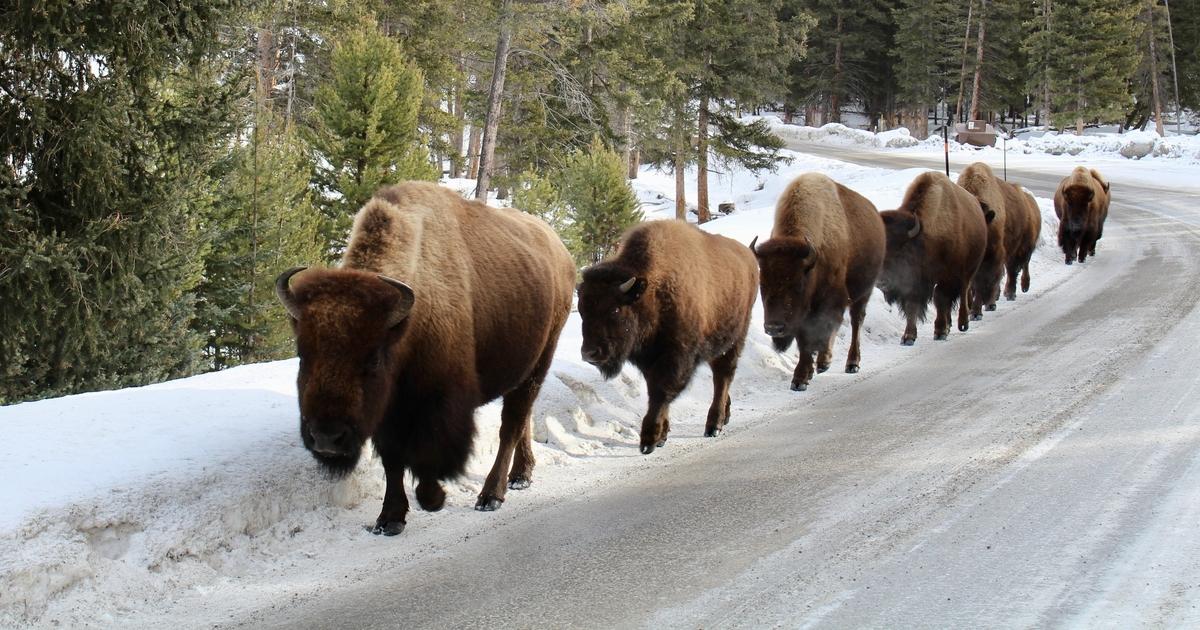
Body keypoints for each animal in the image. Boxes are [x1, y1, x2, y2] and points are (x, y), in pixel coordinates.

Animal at [275, 182, 574, 535]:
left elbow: (430, 454)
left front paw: (432, 500)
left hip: (540, 360)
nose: (327, 437)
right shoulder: (388, 412)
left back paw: (491, 495)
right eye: (302, 354)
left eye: (373, 359)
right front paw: (389, 519)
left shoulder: (438, 404)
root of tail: (560, 250)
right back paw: (520, 476)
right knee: (523, 419)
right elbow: (392, 461)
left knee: (511, 426)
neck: (407, 324)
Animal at [577, 220, 758, 455]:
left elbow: (660, 394)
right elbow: (655, 393)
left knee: (722, 377)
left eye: (615, 309)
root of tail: (749, 257)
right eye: (581, 311)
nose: (590, 353)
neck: (653, 291)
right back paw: (724, 416)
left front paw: (649, 441)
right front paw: (662, 436)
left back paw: (713, 426)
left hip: (735, 340)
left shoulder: (675, 358)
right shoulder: (649, 360)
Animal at [752, 173, 885, 391]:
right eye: (762, 284)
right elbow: (804, 340)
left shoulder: (829, 301)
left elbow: (820, 331)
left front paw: (808, 373)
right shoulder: (802, 314)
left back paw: (850, 363)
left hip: (862, 294)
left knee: (856, 322)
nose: (773, 328)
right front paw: (803, 376)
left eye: (797, 285)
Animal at [878, 171, 990, 344]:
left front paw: (940, 331)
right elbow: (912, 305)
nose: (881, 281)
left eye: (901, 250)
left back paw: (963, 323)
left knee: (964, 292)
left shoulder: (947, 277)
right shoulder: (914, 282)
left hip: (968, 271)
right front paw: (908, 337)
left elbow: (940, 299)